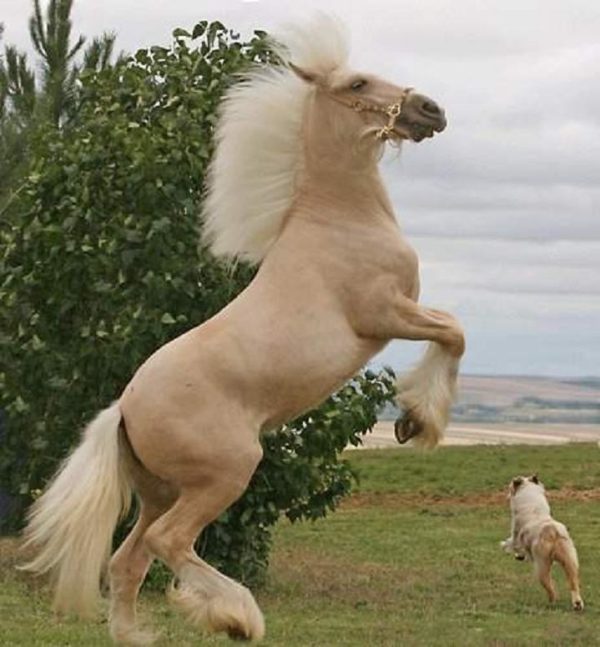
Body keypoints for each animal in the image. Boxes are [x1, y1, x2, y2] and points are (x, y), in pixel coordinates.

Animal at [21, 15, 464, 645]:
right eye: (356, 83)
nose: (431, 109)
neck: (340, 220)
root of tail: (124, 410)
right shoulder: (385, 313)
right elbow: (453, 332)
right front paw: (417, 420)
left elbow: (452, 330)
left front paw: (408, 421)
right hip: (222, 475)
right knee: (168, 544)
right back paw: (236, 616)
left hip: (160, 493)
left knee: (127, 561)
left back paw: (138, 634)